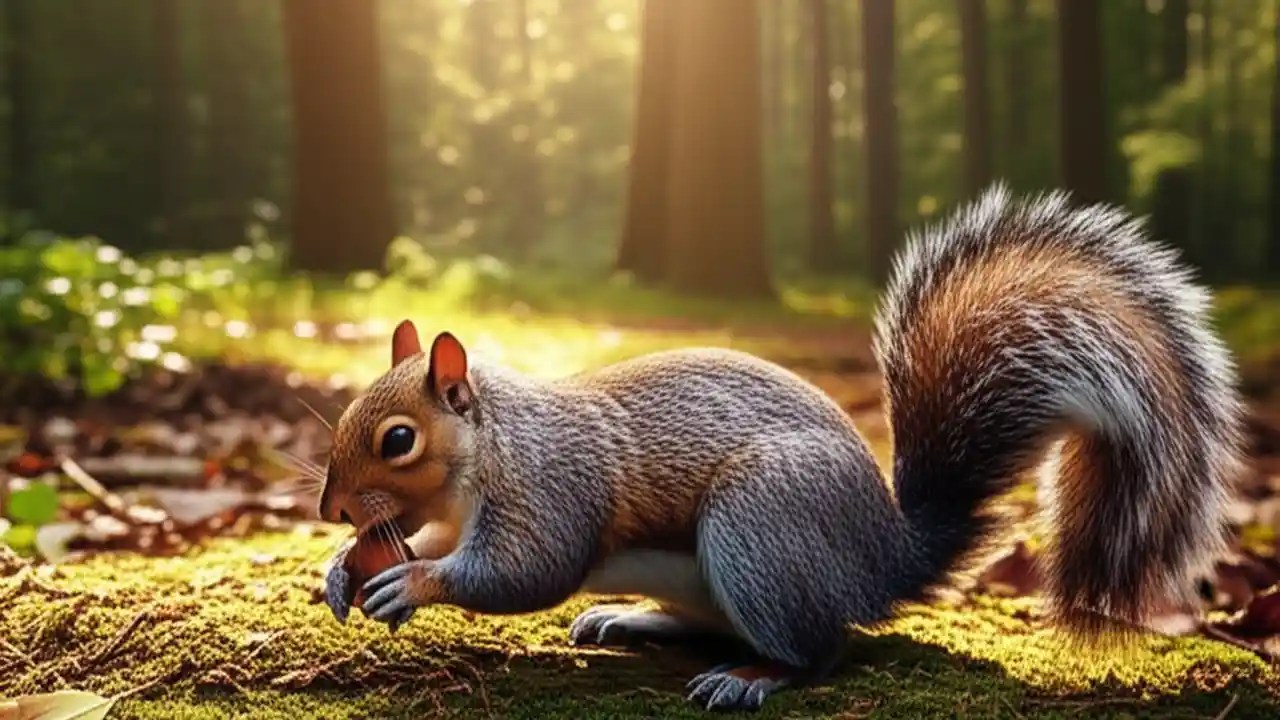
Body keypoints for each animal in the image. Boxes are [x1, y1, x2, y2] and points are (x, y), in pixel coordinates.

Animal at [319, 186, 1244, 712]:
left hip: (759, 527)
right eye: (342, 420)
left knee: (821, 648)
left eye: (397, 440)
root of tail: (882, 557)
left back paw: (753, 677)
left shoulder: (551, 488)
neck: (485, 453)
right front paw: (341, 567)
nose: (329, 509)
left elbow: (525, 570)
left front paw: (413, 581)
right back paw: (632, 617)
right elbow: (438, 537)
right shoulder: (454, 512)